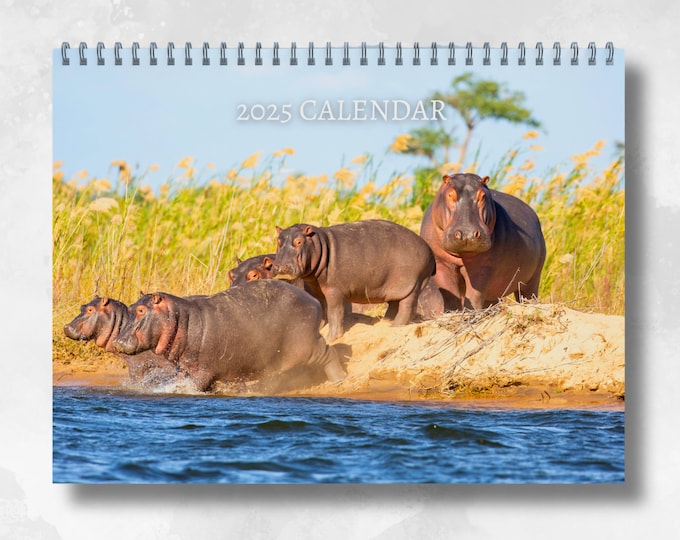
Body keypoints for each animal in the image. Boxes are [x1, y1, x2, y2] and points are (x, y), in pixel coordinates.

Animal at [112, 279, 346, 392]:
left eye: (141, 310)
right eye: (131, 307)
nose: (117, 340)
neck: (180, 318)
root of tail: (313, 301)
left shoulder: (203, 371)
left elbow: (194, 386)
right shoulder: (186, 368)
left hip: (307, 345)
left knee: (329, 353)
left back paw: (339, 380)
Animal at [270, 219, 436, 341]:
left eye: (299, 242)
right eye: (278, 241)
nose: (281, 267)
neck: (318, 243)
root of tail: (429, 250)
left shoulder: (333, 291)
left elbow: (335, 312)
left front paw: (331, 338)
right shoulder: (316, 291)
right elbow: (321, 310)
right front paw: (320, 330)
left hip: (413, 285)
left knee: (407, 308)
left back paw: (393, 327)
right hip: (394, 288)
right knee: (394, 305)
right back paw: (383, 324)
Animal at [419, 173, 546, 312]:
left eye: (483, 195)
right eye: (450, 194)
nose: (468, 234)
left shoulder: (482, 268)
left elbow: (474, 296)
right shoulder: (442, 264)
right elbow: (450, 295)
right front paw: (452, 312)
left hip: (532, 279)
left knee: (527, 295)